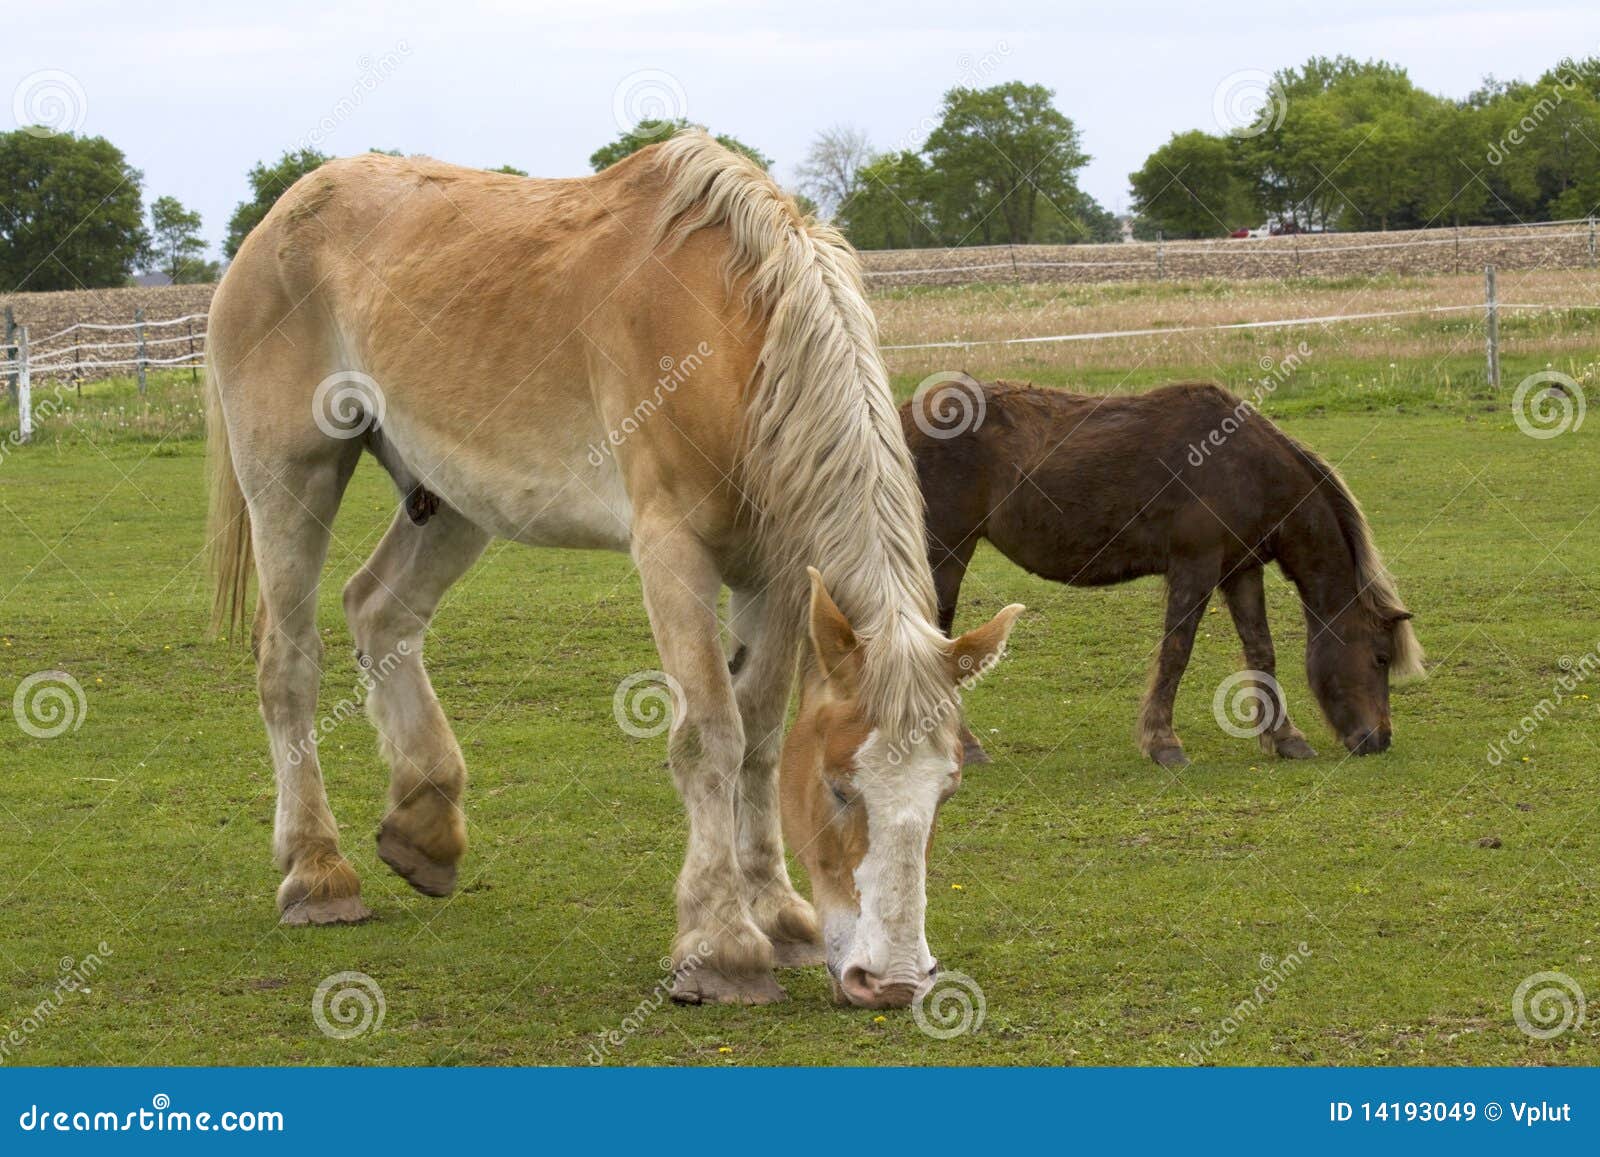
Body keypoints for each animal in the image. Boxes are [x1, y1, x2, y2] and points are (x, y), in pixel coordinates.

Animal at [204, 134, 1024, 1009]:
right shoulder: (672, 553)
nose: (894, 980)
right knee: (289, 663)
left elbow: (762, 737)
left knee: (379, 609)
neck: (737, 333)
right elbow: (711, 733)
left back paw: (425, 826)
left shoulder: (774, 570)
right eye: (840, 786)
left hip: (451, 502)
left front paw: (777, 913)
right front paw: (723, 944)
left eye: (946, 788)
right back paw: (317, 872)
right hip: (292, 478)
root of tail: (281, 216)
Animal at [901, 378, 1422, 768]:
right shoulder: (1196, 566)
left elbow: (1261, 651)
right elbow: (1176, 652)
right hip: (946, 555)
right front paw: (1163, 742)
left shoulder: (1241, 570)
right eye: (1380, 657)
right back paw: (964, 746)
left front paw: (1284, 737)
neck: (1245, 466)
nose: (1380, 739)